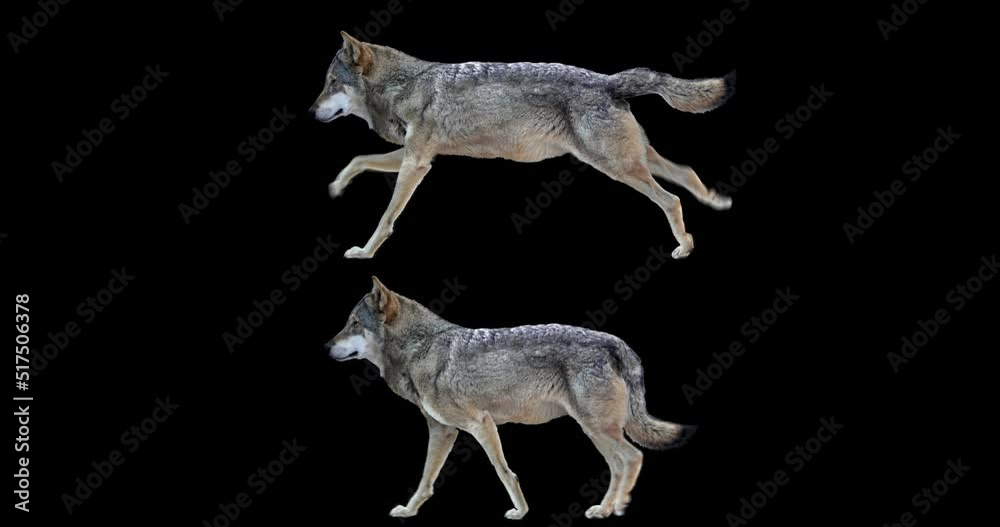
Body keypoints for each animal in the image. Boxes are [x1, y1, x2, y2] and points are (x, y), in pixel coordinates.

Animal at [311, 32, 735, 259]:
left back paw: (685, 246)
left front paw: (365, 252)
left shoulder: (416, 164)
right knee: (686, 173)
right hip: (633, 160)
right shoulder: (418, 156)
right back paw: (716, 203)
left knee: (671, 199)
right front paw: (336, 187)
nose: (312, 111)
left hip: (618, 167)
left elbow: (385, 217)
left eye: (332, 83)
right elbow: (358, 159)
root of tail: (609, 80)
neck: (406, 86)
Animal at [327, 277, 696, 520]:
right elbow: (426, 478)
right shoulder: (442, 430)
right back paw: (604, 509)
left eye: (354, 323)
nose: (326, 347)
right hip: (596, 432)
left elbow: (504, 471)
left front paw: (520, 511)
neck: (422, 349)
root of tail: (618, 343)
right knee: (619, 464)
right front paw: (409, 510)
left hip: (597, 430)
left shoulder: (481, 423)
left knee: (633, 458)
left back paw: (616, 506)